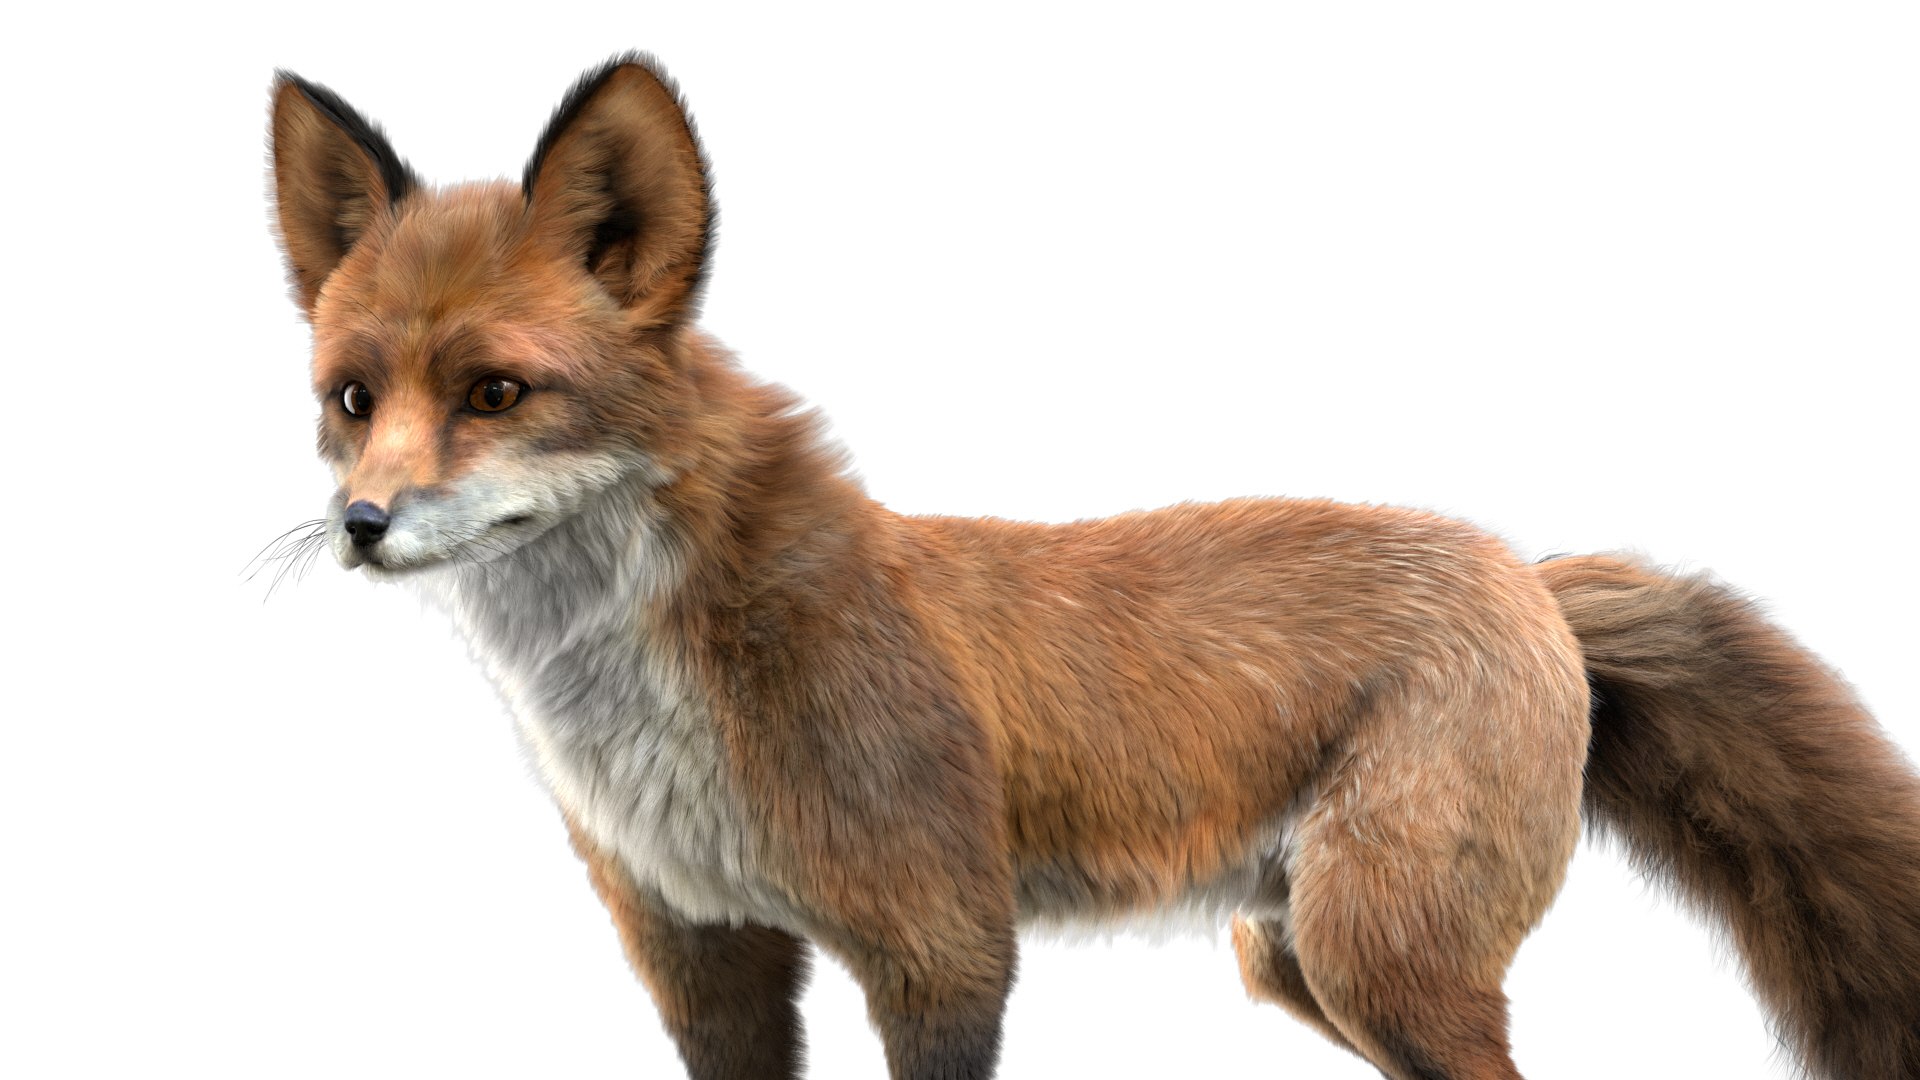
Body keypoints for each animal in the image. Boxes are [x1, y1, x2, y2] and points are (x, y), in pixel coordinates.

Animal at [268, 53, 1920, 1080]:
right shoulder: (705, 958)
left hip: (1379, 955)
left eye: (496, 392)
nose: (364, 525)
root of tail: (1523, 570)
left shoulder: (941, 944)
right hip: (1300, 962)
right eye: (351, 399)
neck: (648, 708)